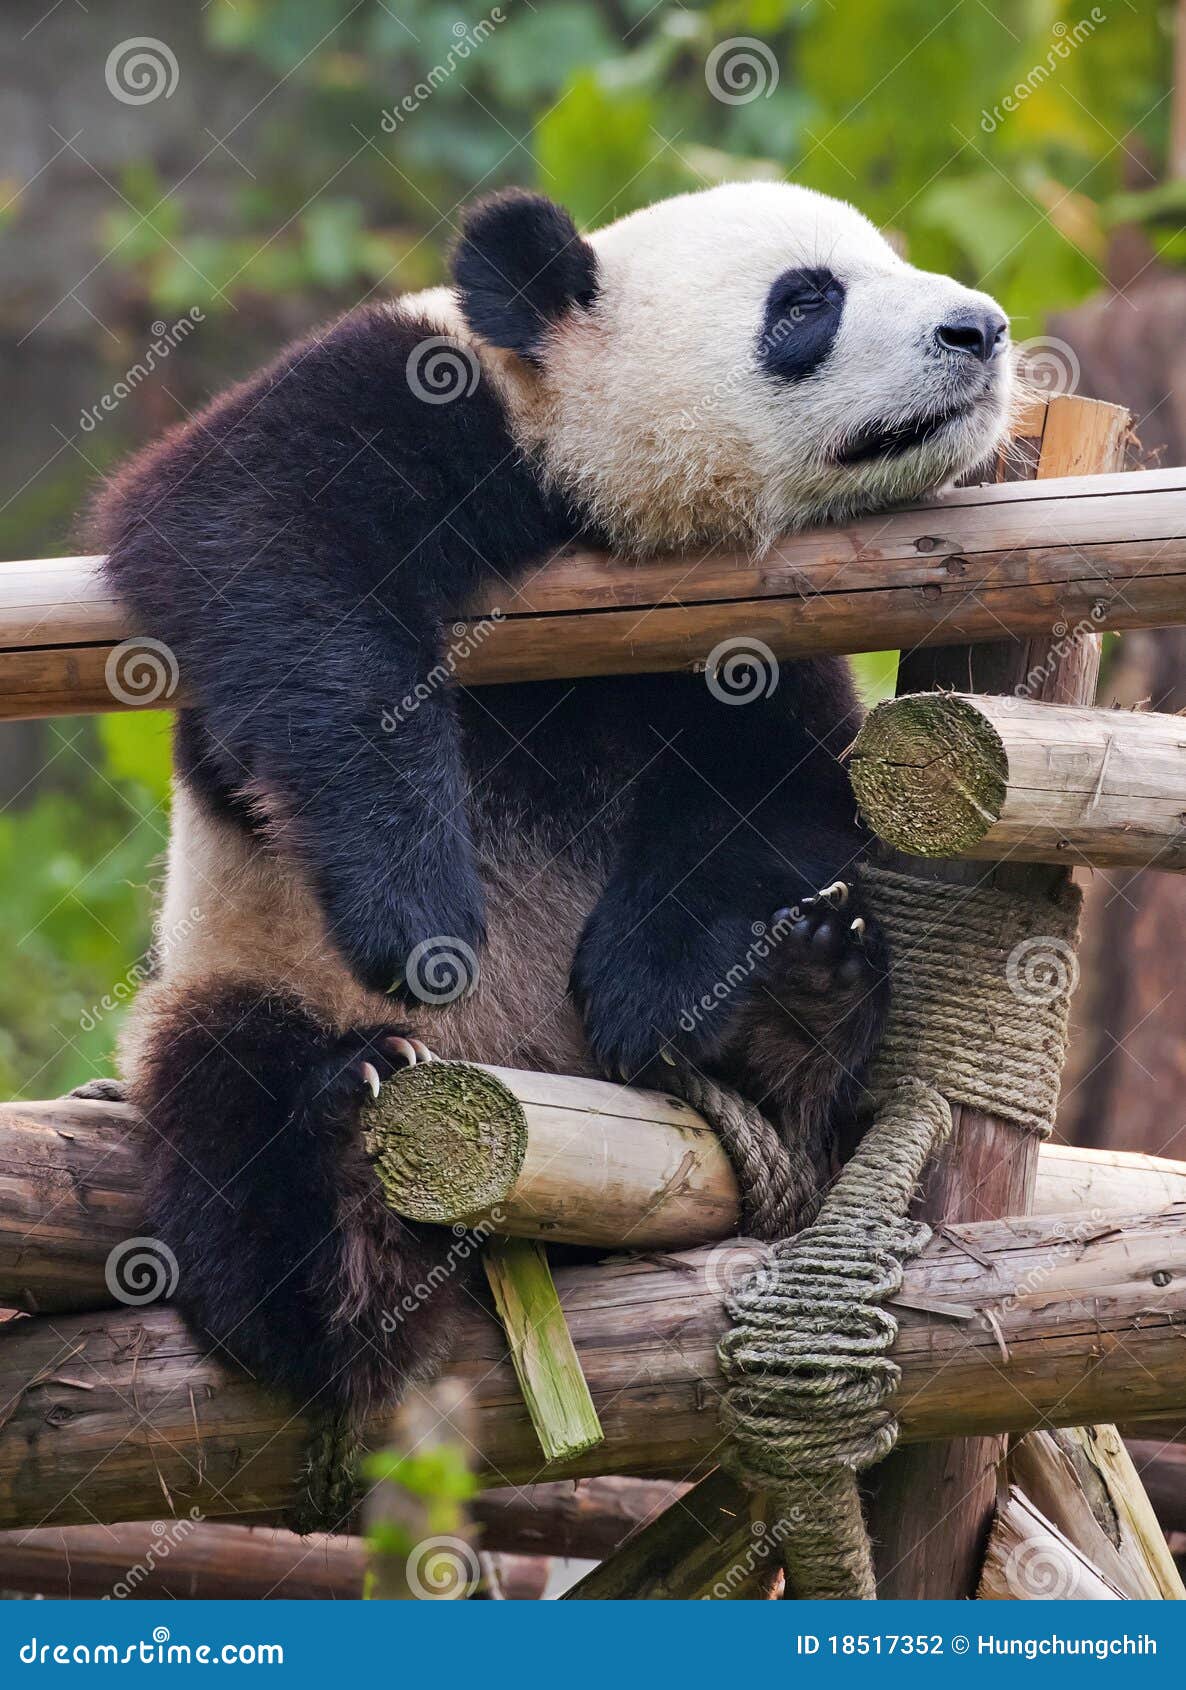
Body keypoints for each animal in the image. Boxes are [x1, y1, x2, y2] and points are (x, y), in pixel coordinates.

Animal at [87, 182, 1012, 1424]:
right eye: (805, 301)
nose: (981, 329)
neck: (594, 505)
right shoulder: (421, 395)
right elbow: (258, 543)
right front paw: (417, 912)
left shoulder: (760, 633)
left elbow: (784, 785)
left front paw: (654, 983)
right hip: (247, 966)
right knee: (238, 1134)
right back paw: (343, 1159)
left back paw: (801, 994)